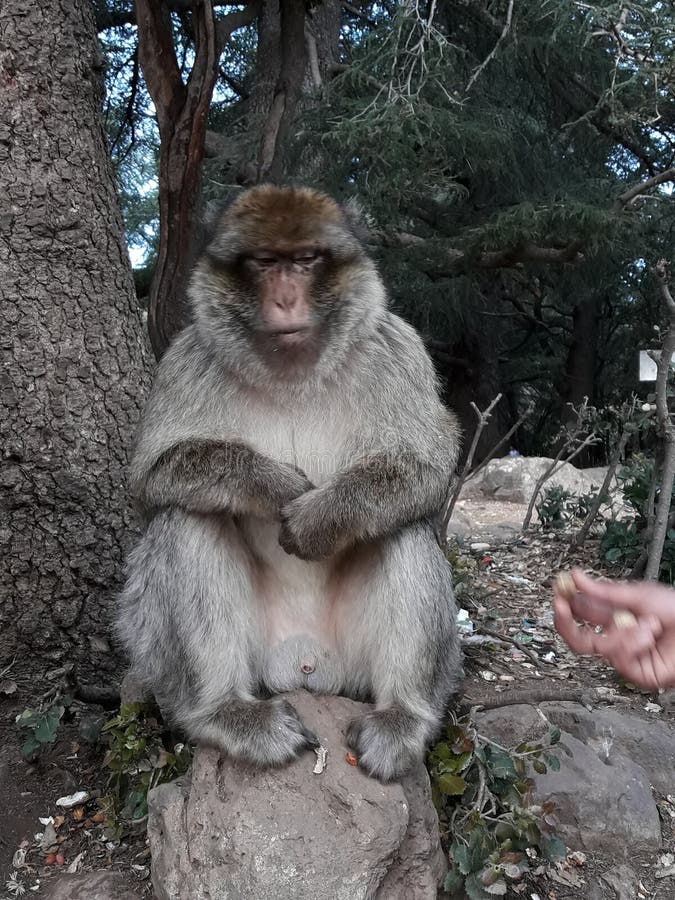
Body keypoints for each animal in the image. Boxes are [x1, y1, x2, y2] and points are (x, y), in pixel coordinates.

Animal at [117, 185, 463, 781]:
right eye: (263, 262)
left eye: (304, 260)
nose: (283, 300)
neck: (293, 372)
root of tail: (304, 666)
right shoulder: (188, 358)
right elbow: (149, 481)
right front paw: (274, 486)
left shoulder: (396, 348)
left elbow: (429, 466)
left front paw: (321, 515)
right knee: (187, 518)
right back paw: (223, 712)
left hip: (351, 660)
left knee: (405, 526)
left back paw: (404, 715)